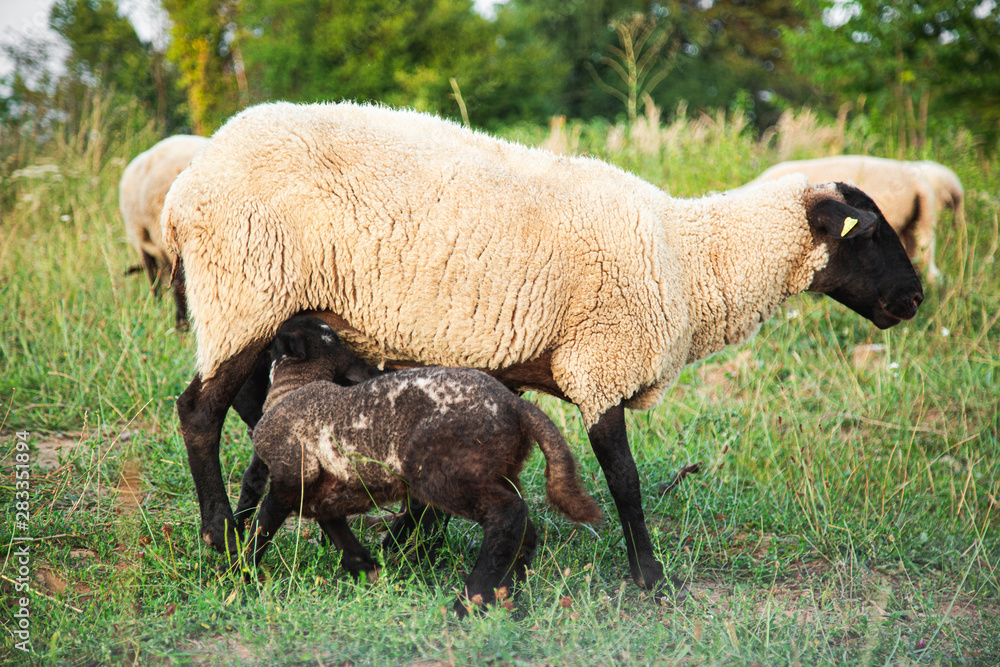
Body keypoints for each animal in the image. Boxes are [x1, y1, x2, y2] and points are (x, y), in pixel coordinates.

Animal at [234, 315, 602, 615]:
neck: (293, 390)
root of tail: (516, 406)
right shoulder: (325, 490)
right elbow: (338, 531)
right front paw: (367, 571)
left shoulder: (288, 477)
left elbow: (262, 528)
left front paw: (237, 577)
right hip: (502, 470)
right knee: (525, 528)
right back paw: (508, 597)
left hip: (446, 473)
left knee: (507, 516)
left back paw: (469, 604)